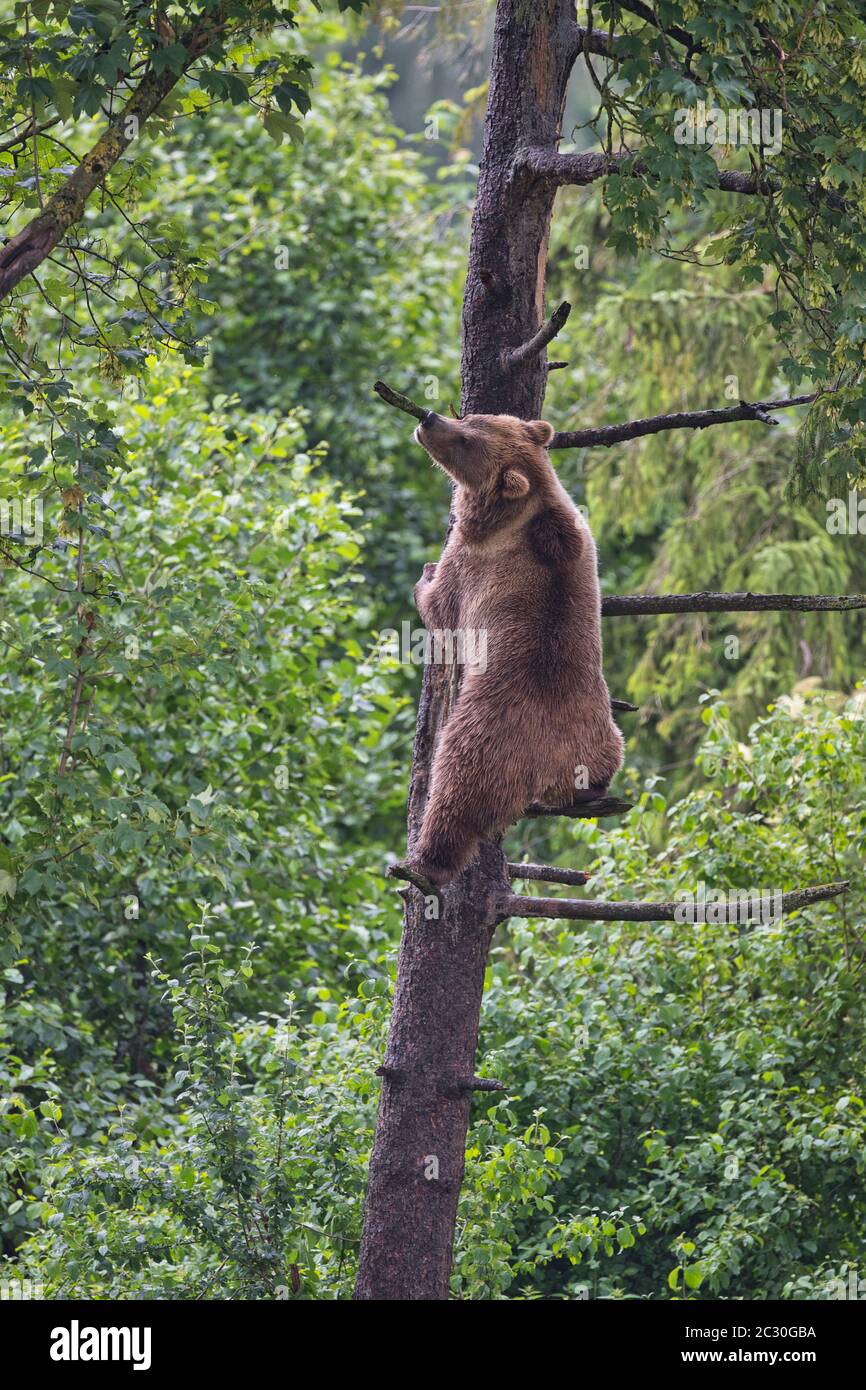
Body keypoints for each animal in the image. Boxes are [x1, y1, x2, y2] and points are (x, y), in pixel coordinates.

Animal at [403, 409, 624, 888]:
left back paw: (421, 864)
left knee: (454, 797)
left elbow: (441, 606)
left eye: (467, 442)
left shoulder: (472, 563)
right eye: (474, 417)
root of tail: (556, 770)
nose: (429, 418)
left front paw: (423, 575)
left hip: (484, 740)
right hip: (603, 733)